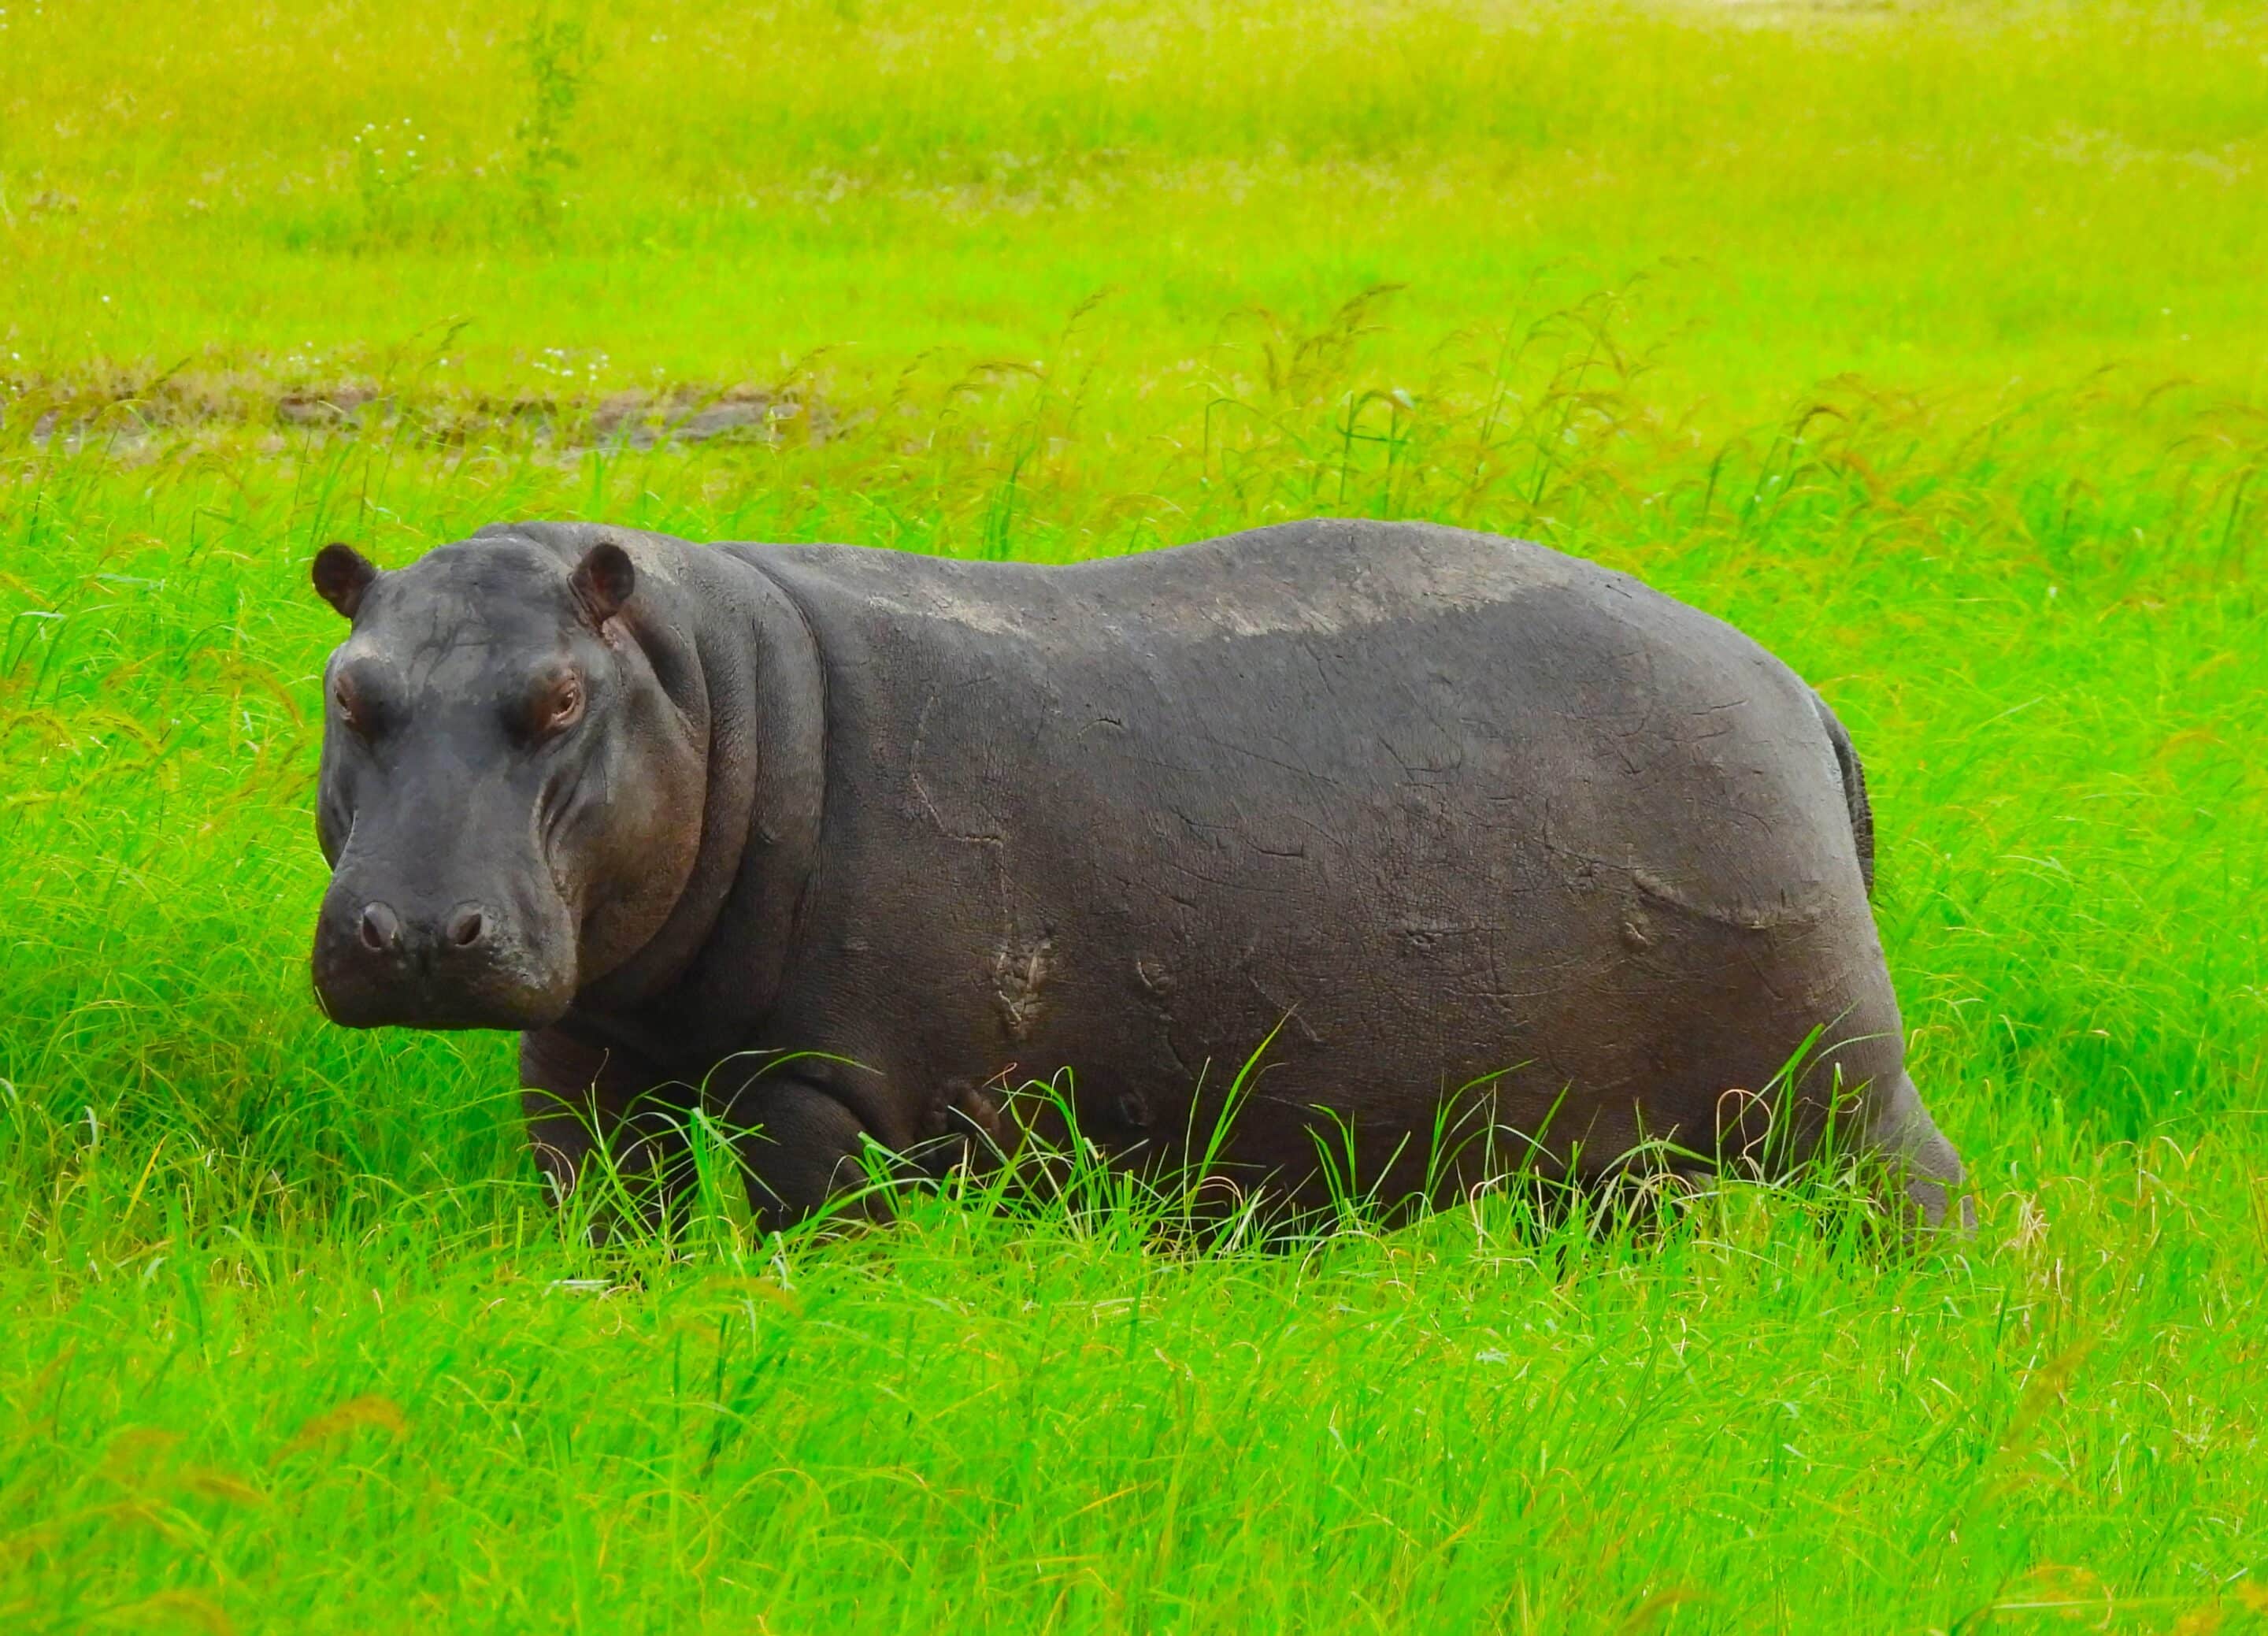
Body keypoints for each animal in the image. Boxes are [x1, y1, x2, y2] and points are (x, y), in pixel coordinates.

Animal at [308, 518, 1967, 1230]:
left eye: (559, 701)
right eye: (347, 689)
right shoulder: (591, 1053)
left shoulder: (826, 1084)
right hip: (1607, 1137)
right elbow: (601, 1209)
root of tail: (1793, 690)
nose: (415, 928)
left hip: (1832, 1084)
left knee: (1924, 1192)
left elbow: (814, 1228)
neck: (710, 691)